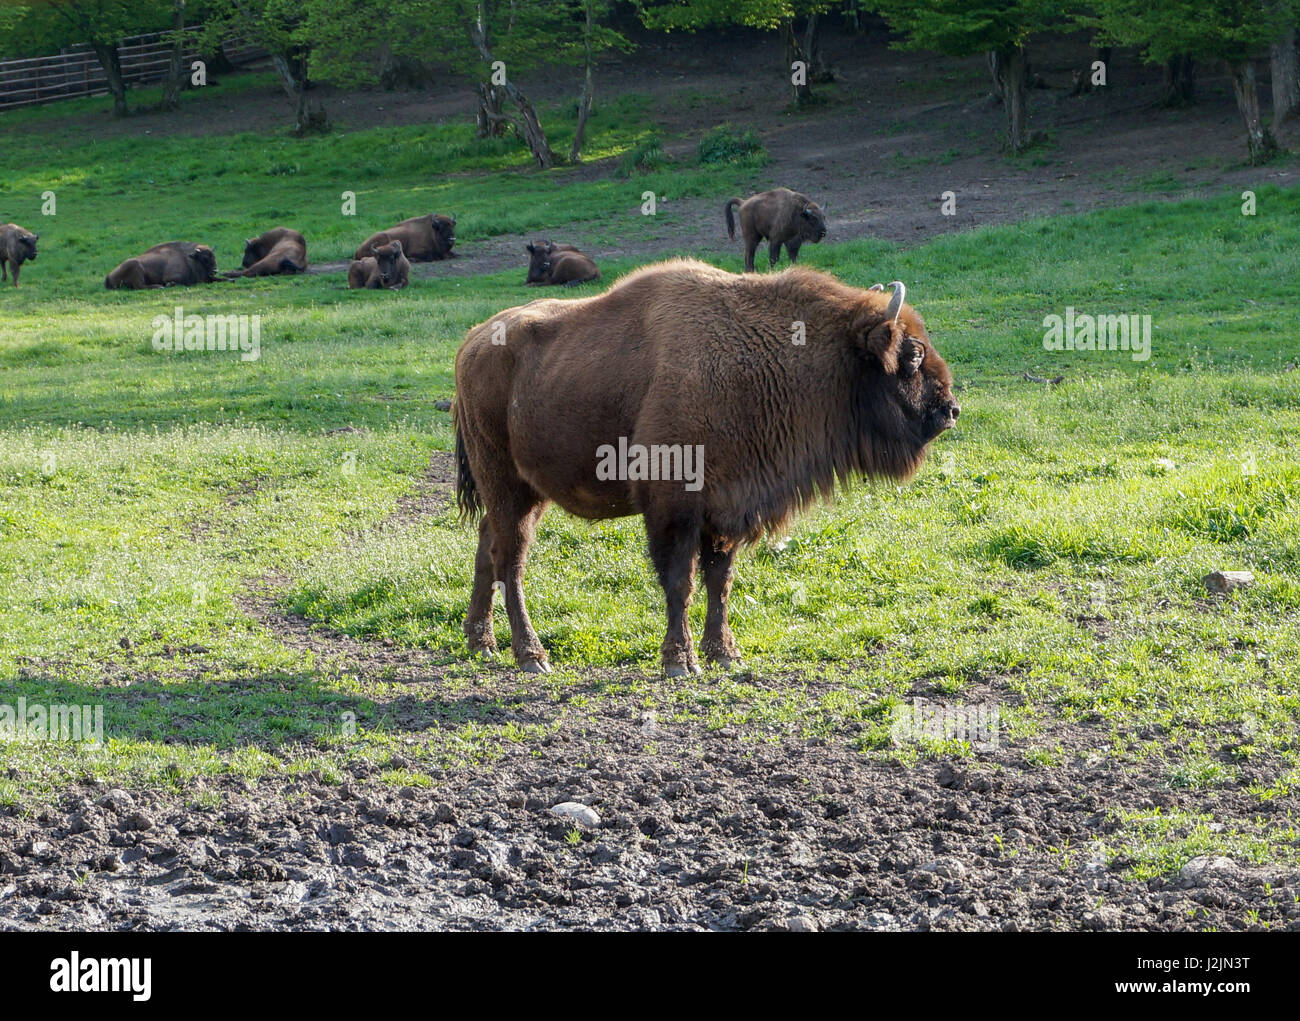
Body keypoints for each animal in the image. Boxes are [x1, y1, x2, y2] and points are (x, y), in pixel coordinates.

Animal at [453, 260, 959, 676]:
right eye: (912, 354)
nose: (950, 409)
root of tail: (472, 342)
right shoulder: (673, 506)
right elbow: (681, 581)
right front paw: (680, 661)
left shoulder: (728, 505)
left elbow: (720, 580)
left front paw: (725, 655)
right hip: (509, 487)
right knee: (511, 561)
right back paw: (531, 655)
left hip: (526, 491)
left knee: (488, 544)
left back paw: (482, 643)